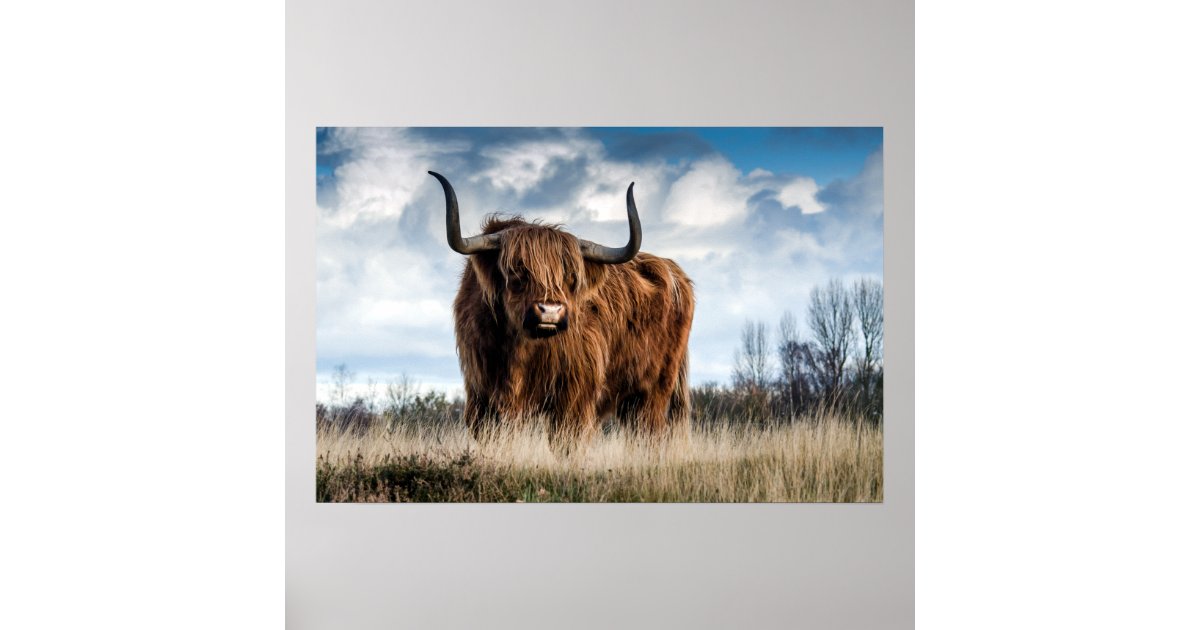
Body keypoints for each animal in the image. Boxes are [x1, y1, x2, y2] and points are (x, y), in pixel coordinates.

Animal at [429, 171, 695, 449]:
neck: (519, 350)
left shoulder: (574, 396)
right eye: (517, 270)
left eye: (570, 276)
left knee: (650, 434)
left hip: (653, 390)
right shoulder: (482, 395)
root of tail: (674, 271)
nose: (550, 310)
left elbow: (567, 442)